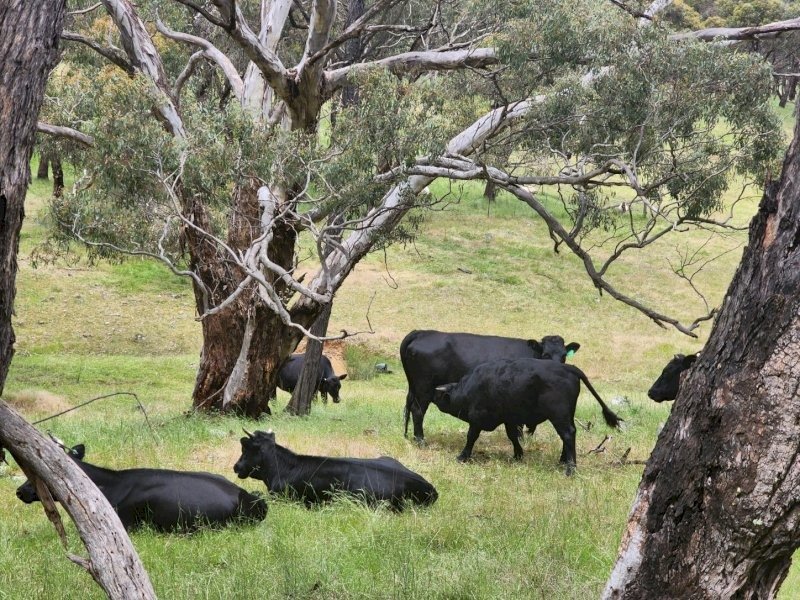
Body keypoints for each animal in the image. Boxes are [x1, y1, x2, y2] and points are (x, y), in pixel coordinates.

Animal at [400, 330, 581, 442]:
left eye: (564, 356)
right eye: (546, 355)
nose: (559, 369)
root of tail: (423, 332)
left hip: (414, 387)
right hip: (424, 388)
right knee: (417, 411)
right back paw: (420, 440)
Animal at [432, 358, 622, 474]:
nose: (432, 397)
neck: (468, 389)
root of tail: (568, 367)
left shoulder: (477, 419)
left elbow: (471, 437)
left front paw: (462, 456)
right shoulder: (509, 419)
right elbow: (513, 436)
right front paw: (518, 455)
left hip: (558, 415)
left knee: (568, 434)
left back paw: (570, 468)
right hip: (567, 414)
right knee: (568, 435)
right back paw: (563, 460)